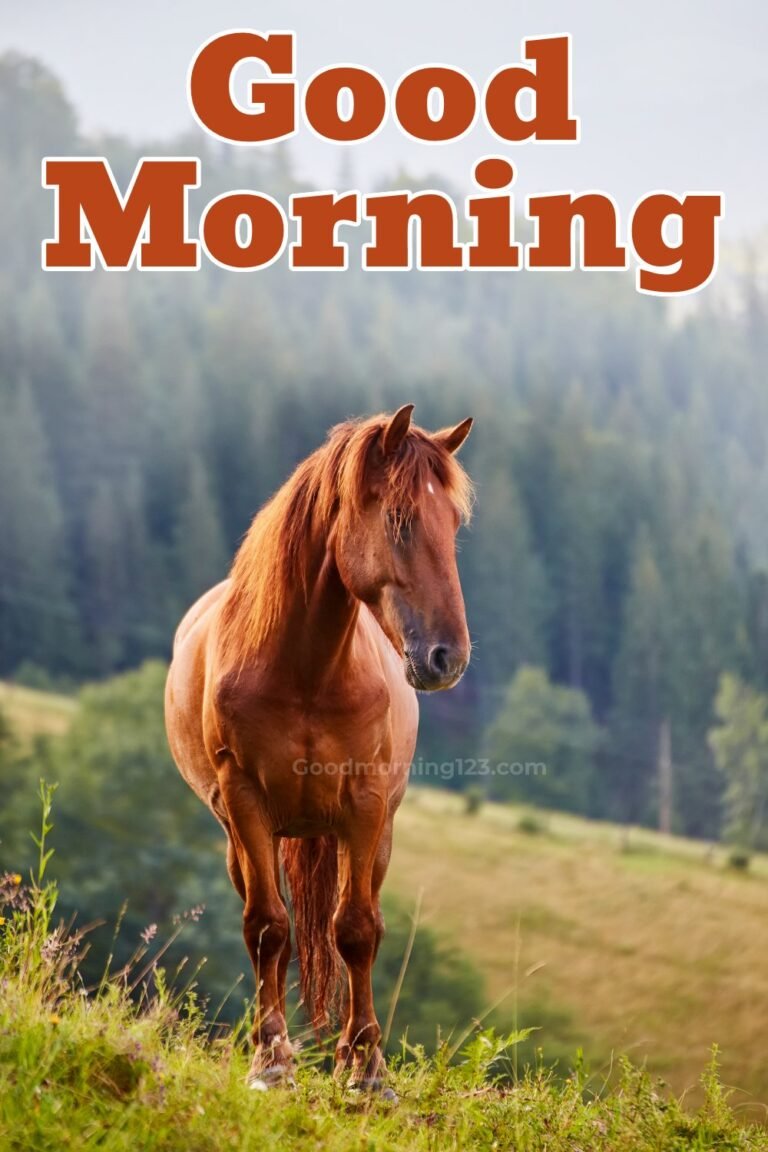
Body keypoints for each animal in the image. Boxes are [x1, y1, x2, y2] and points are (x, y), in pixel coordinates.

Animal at [164, 404, 473, 1092]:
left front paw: (367, 1069)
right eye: (400, 520)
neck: (305, 670)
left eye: (455, 525)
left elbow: (355, 931)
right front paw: (271, 1060)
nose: (449, 658)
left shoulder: (364, 805)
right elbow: (267, 927)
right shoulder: (245, 802)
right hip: (245, 837)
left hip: (374, 836)